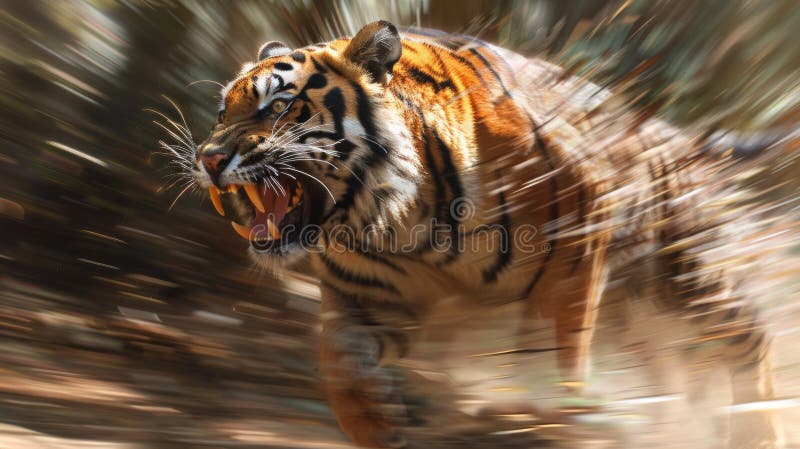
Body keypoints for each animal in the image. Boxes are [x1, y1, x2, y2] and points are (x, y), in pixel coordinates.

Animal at [180, 20, 785, 448]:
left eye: (279, 105)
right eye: (222, 111)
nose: (207, 159)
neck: (392, 223)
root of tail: (665, 129)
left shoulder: (571, 261)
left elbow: (554, 360)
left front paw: (546, 417)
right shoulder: (365, 299)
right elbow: (343, 371)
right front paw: (384, 424)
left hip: (689, 281)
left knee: (750, 338)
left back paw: (755, 430)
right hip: (637, 318)